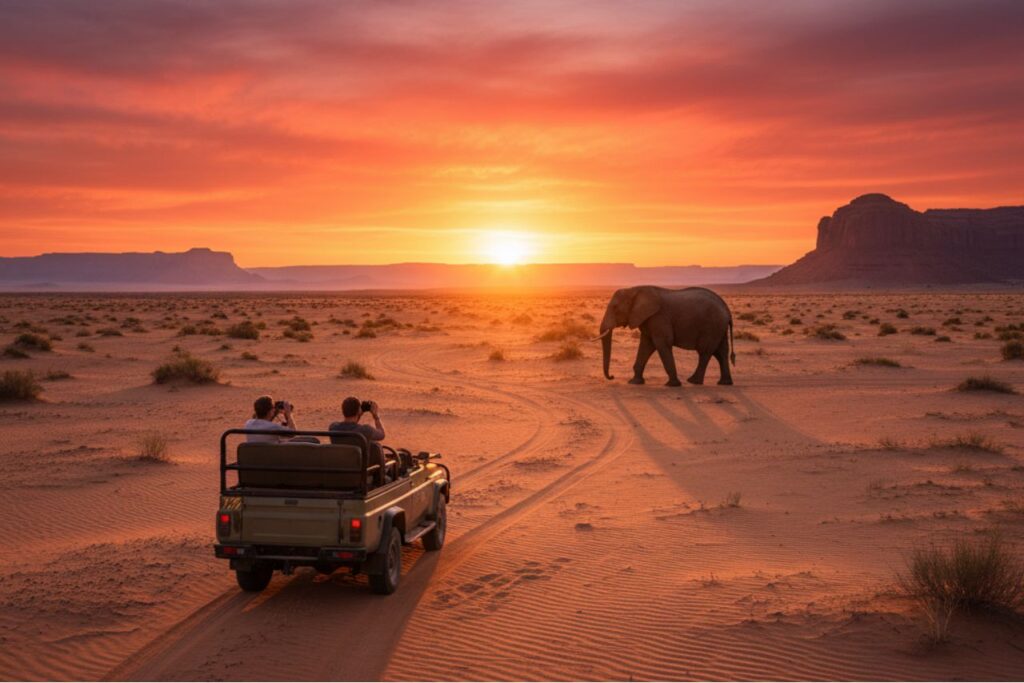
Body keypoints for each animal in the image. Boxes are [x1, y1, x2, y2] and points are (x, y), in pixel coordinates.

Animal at [595, 286, 735, 386]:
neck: (634, 290)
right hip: (718, 328)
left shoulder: (659, 317)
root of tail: (727, 310)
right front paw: (634, 382)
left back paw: (693, 381)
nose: (612, 376)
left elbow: (662, 344)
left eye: (615, 308)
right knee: (721, 352)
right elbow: (646, 345)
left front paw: (672, 385)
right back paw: (724, 383)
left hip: (712, 326)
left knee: (705, 352)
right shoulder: (648, 319)